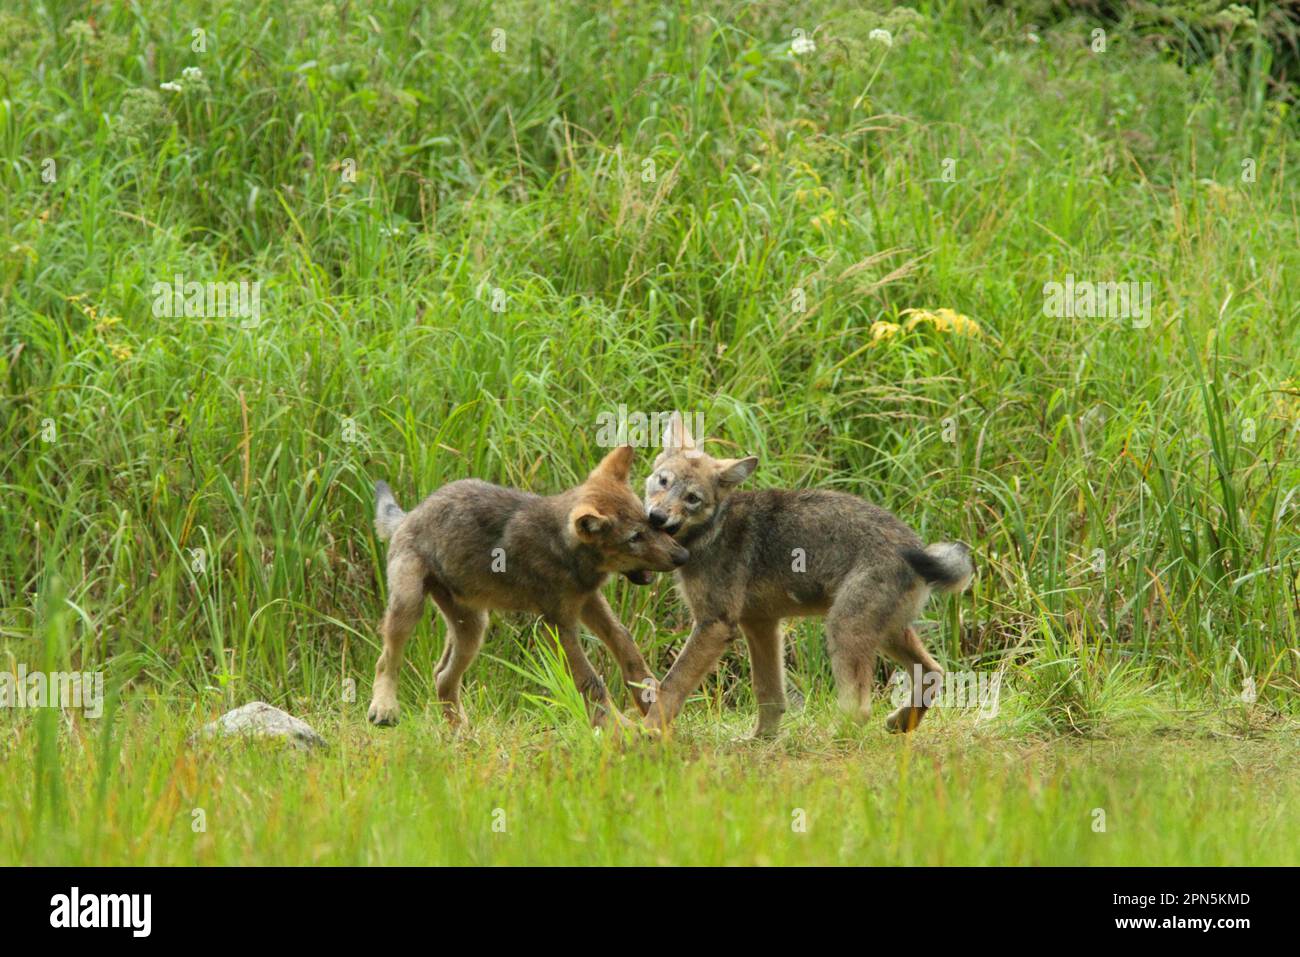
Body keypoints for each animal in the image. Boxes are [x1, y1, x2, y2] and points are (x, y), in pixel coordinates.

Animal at [367, 446, 688, 729]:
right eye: (634, 538)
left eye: (651, 522)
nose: (682, 556)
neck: (562, 548)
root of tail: (409, 515)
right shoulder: (556, 625)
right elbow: (590, 681)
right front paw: (618, 729)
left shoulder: (588, 601)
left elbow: (626, 644)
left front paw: (651, 701)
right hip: (409, 606)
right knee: (386, 661)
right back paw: (384, 708)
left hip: (472, 629)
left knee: (441, 677)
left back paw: (463, 736)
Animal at [642, 413, 972, 738]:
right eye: (663, 481)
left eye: (692, 498)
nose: (656, 517)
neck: (712, 530)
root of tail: (916, 546)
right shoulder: (760, 624)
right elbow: (769, 693)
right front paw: (761, 739)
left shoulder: (715, 625)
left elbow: (671, 685)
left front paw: (644, 732)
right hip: (888, 633)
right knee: (934, 671)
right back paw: (900, 722)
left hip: (843, 629)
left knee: (861, 709)